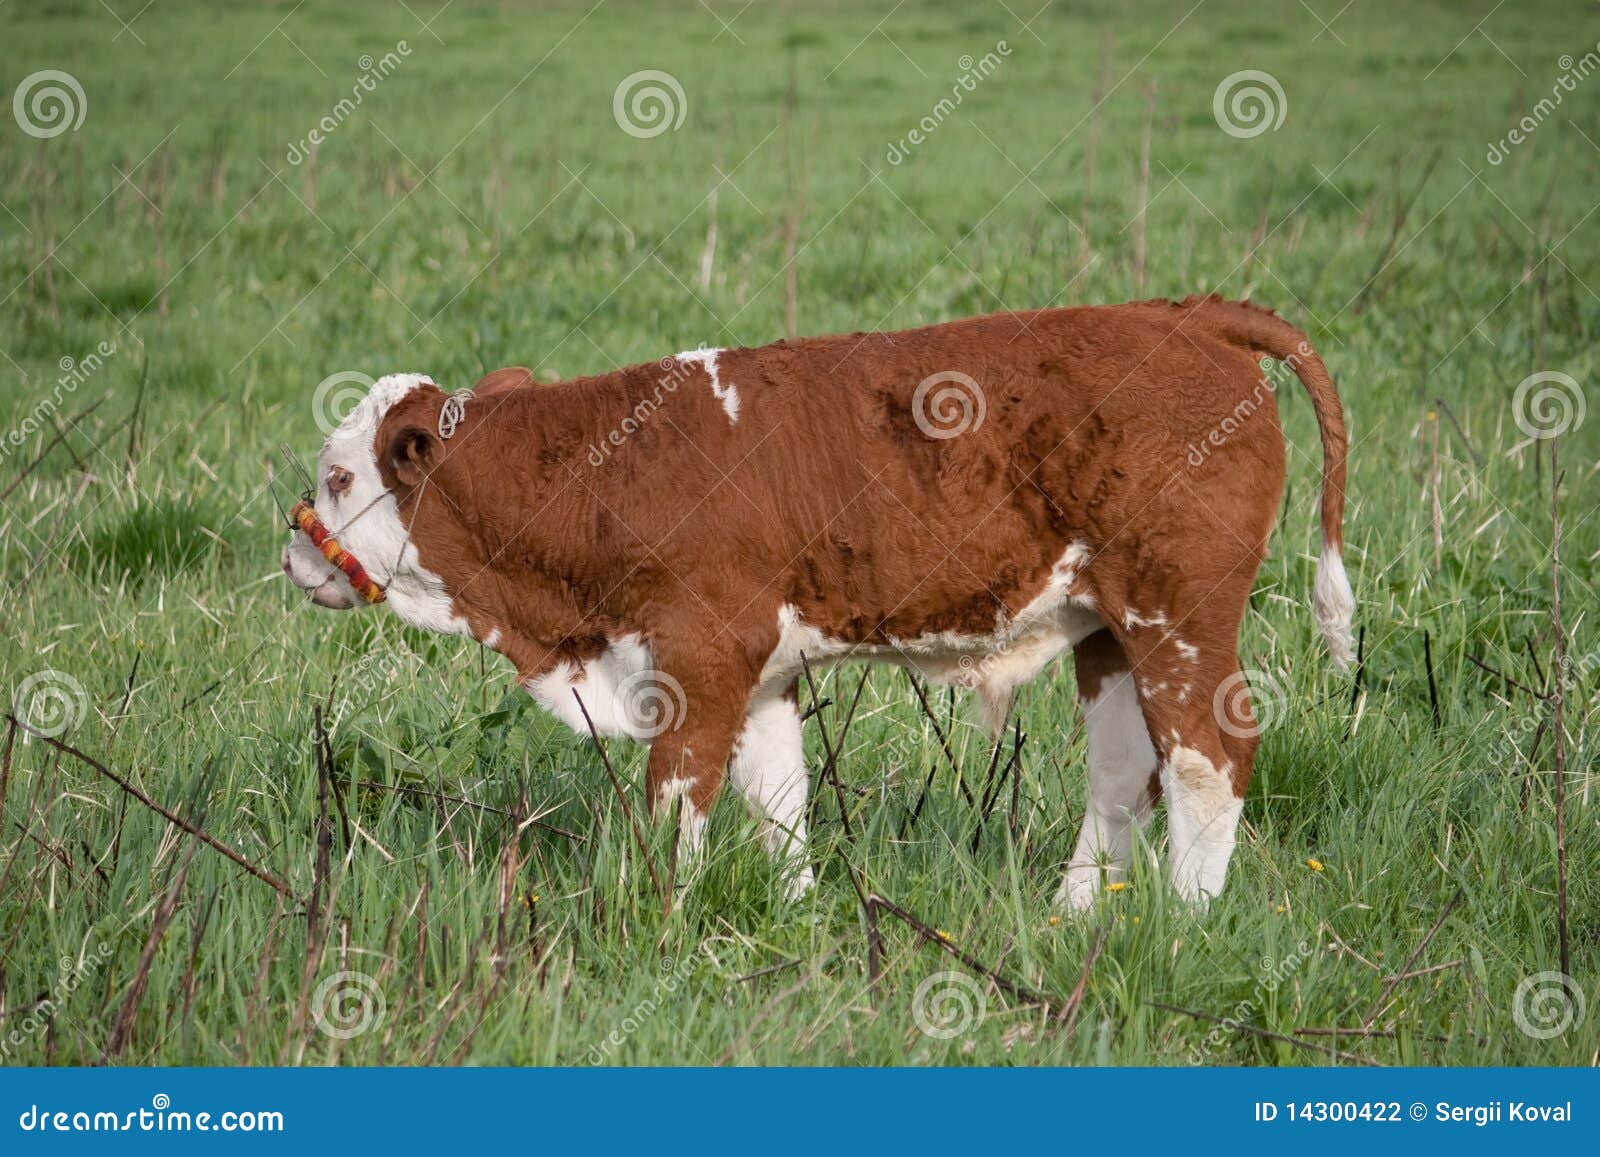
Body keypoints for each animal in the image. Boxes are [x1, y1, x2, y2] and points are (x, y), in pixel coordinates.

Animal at [282, 294, 1353, 907]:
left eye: (338, 478)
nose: (294, 554)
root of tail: (1188, 313)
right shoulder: (760, 670)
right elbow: (779, 794)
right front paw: (795, 910)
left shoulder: (700, 657)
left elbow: (679, 800)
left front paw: (658, 913)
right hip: (1109, 628)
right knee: (1127, 767)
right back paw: (1073, 912)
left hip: (1180, 613)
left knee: (1210, 755)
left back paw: (1186, 920)